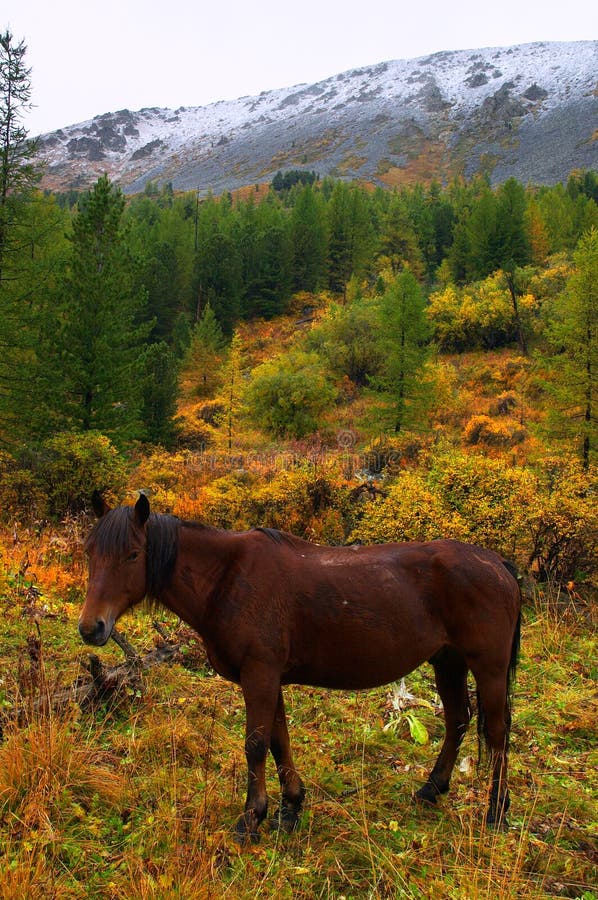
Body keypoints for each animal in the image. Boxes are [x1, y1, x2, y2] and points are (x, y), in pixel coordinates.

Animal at [78, 492, 522, 843]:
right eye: (90, 553)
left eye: (133, 554)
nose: (91, 627)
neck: (228, 578)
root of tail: (497, 563)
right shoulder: (268, 676)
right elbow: (279, 741)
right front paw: (290, 807)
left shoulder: (259, 674)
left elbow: (256, 745)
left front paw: (250, 819)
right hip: (448, 662)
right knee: (458, 720)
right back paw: (431, 789)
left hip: (488, 667)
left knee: (498, 733)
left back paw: (496, 812)